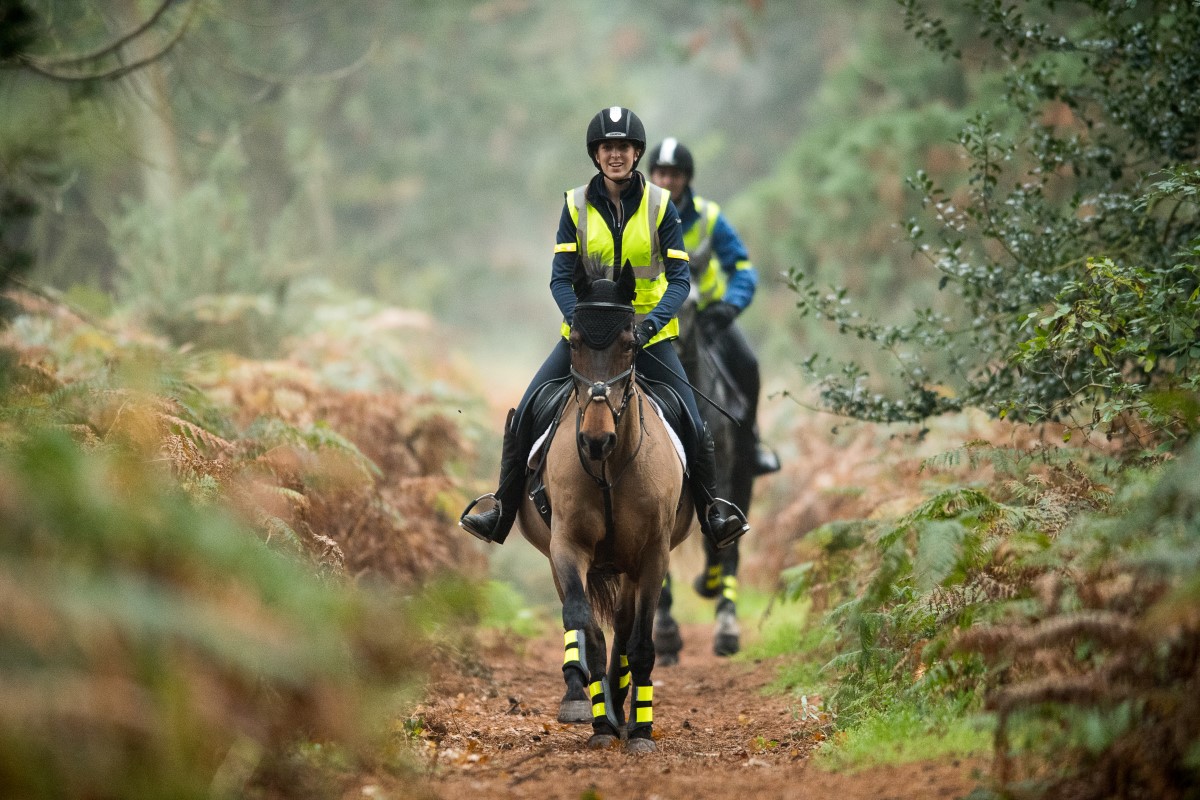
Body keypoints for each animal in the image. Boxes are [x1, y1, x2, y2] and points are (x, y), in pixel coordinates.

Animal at [517, 260, 693, 753]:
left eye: (630, 343)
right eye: (575, 342)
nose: (596, 439)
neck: (609, 468)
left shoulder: (653, 556)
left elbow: (641, 643)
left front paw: (641, 729)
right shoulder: (567, 547)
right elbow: (587, 628)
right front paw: (600, 722)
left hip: (630, 566)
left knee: (627, 628)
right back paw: (586, 698)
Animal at [653, 290, 757, 661]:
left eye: (693, 305)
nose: (674, 342)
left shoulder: (724, 474)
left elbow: (722, 543)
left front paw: (726, 631)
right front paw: (666, 635)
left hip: (744, 479)